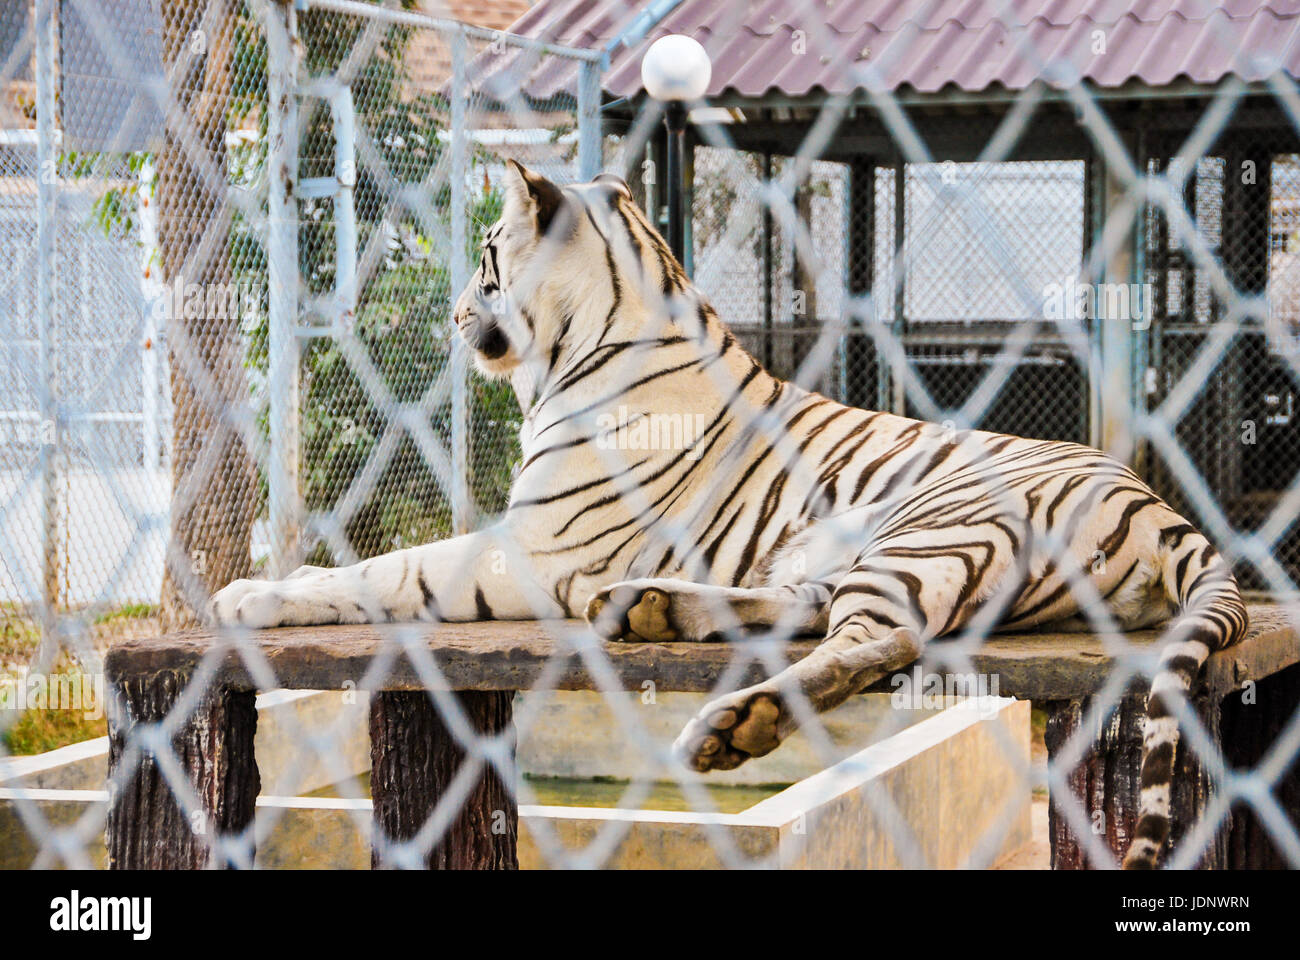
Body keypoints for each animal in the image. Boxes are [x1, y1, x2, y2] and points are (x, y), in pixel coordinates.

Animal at [210, 159, 1248, 869]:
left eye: (490, 265)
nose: (459, 317)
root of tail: (1158, 508)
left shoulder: (533, 551)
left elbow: (387, 569)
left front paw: (249, 597)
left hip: (924, 531)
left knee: (872, 642)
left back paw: (733, 722)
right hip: (842, 544)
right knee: (810, 613)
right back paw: (651, 609)